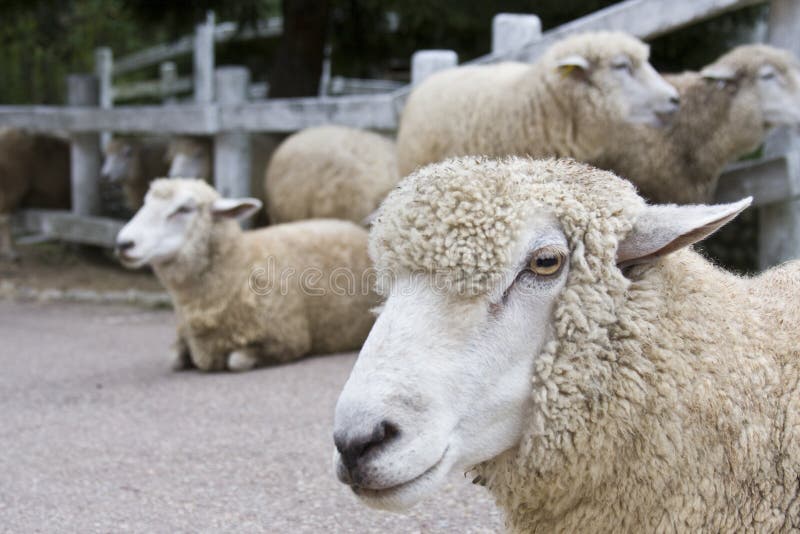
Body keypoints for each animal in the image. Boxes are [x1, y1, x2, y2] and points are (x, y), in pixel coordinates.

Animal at [115, 178, 378, 372]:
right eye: (145, 204)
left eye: (184, 209)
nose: (123, 244)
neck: (241, 264)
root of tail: (357, 228)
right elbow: (173, 359)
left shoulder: (288, 340)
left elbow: (236, 361)